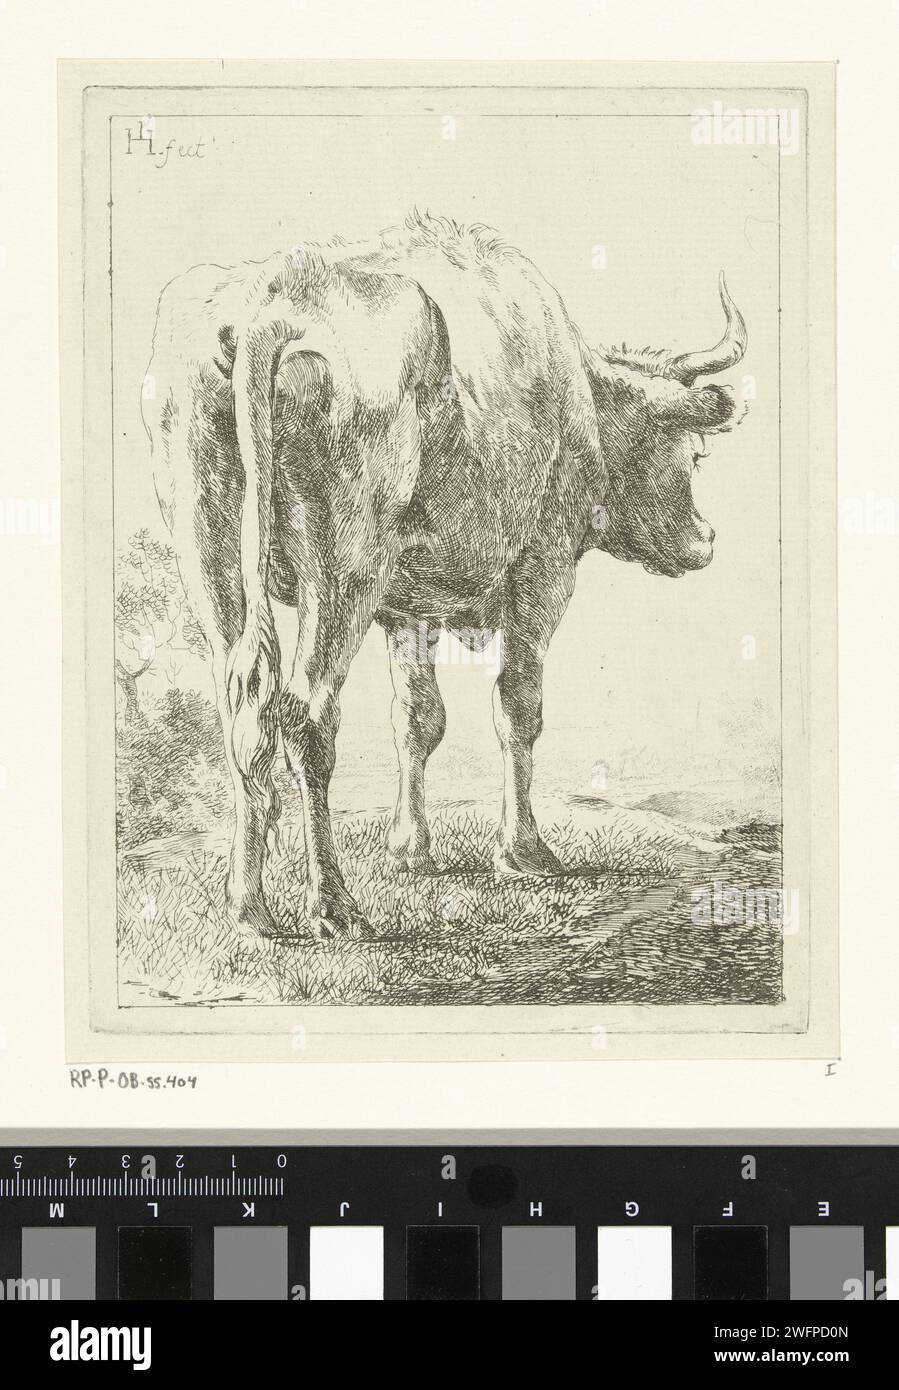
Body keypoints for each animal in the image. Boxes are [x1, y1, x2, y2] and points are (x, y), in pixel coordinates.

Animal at [143, 212, 748, 940]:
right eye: (694, 451)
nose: (705, 540)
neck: (575, 385)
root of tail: (276, 302)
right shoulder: (540, 573)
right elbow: (517, 708)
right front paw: (525, 852)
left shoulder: (406, 609)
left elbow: (418, 718)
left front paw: (411, 850)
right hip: (342, 575)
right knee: (306, 717)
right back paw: (333, 907)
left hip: (211, 559)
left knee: (244, 712)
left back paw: (249, 907)